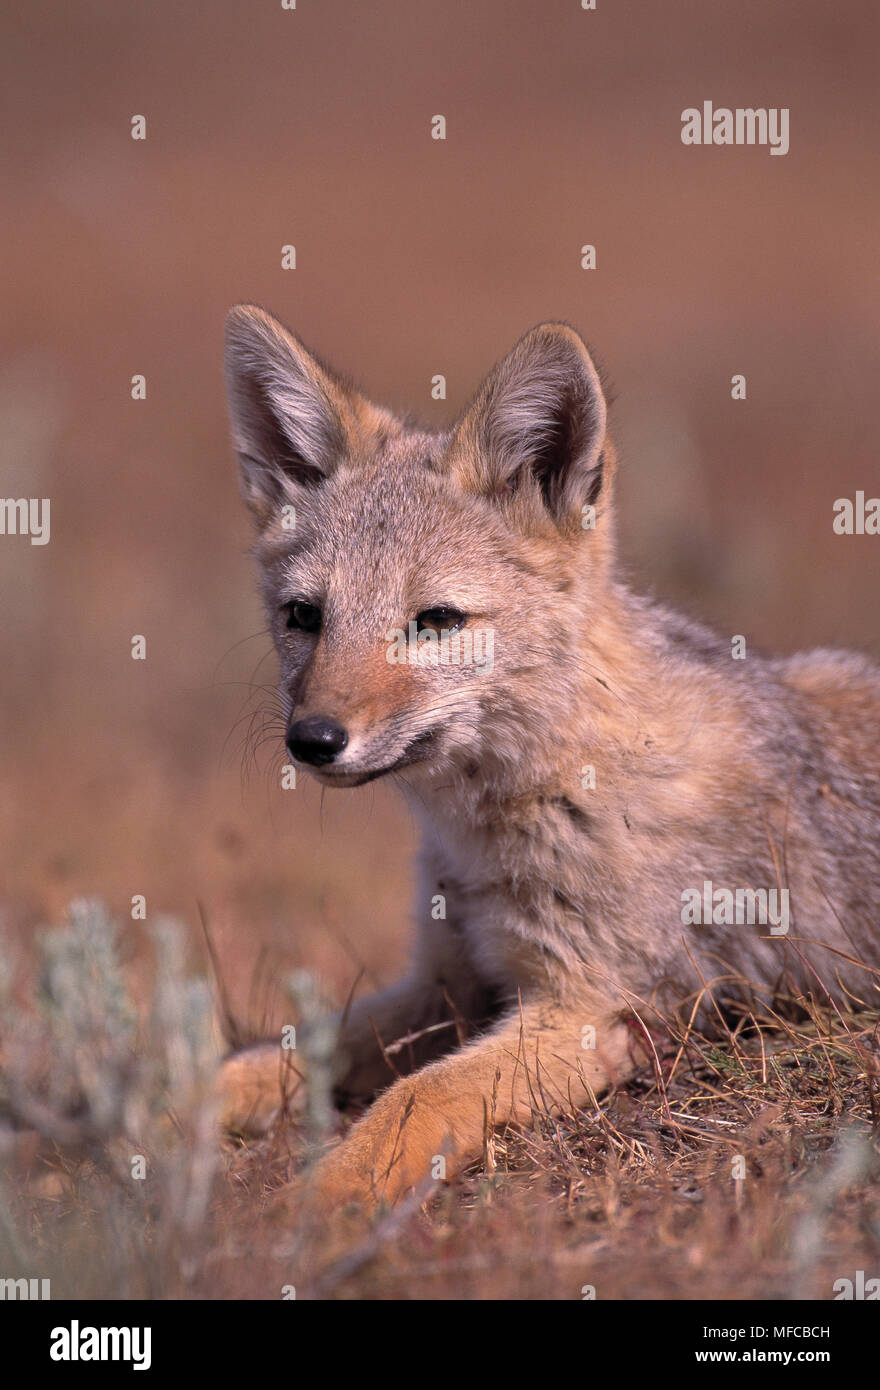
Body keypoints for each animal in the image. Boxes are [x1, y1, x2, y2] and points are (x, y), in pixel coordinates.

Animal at [217, 304, 880, 1211]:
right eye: (304, 617)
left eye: (437, 621)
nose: (313, 738)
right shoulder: (445, 983)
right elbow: (266, 1057)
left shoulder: (598, 1009)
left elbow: (414, 1098)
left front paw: (318, 1205)